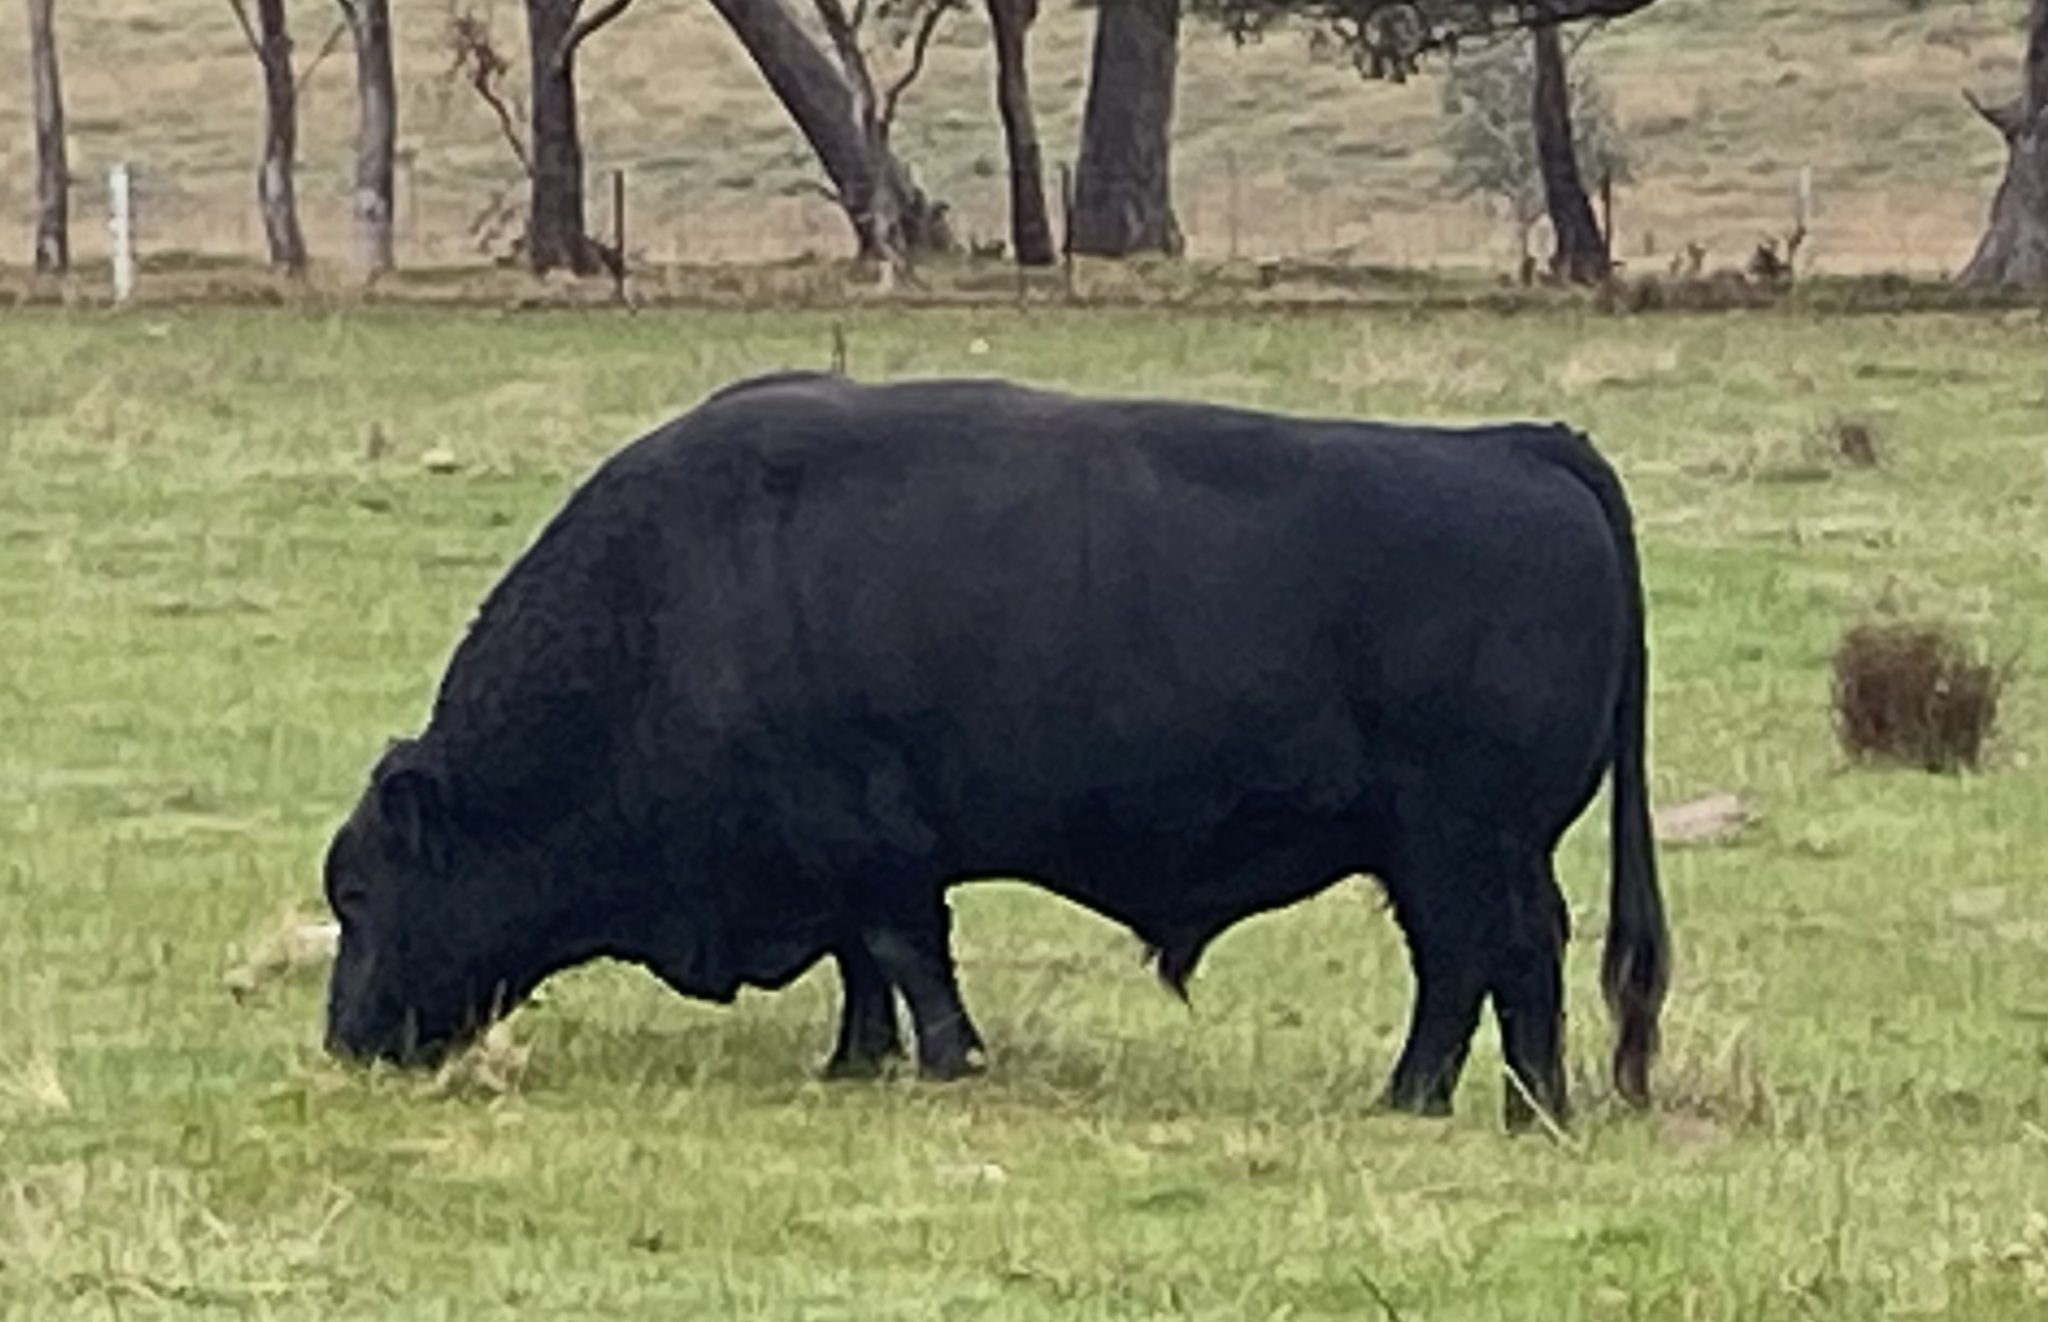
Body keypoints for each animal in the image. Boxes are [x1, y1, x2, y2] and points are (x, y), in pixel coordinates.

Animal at [321, 370, 1669, 1130]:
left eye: (362, 891)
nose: (346, 1040)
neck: (670, 600)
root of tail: (1518, 444)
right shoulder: (852, 863)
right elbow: (868, 964)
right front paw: (855, 1062)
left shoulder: (871, 847)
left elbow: (904, 954)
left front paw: (941, 1062)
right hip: (1430, 850)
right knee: (1470, 964)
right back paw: (1455, 1099)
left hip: (1462, 844)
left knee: (1495, 956)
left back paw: (1492, 1106)